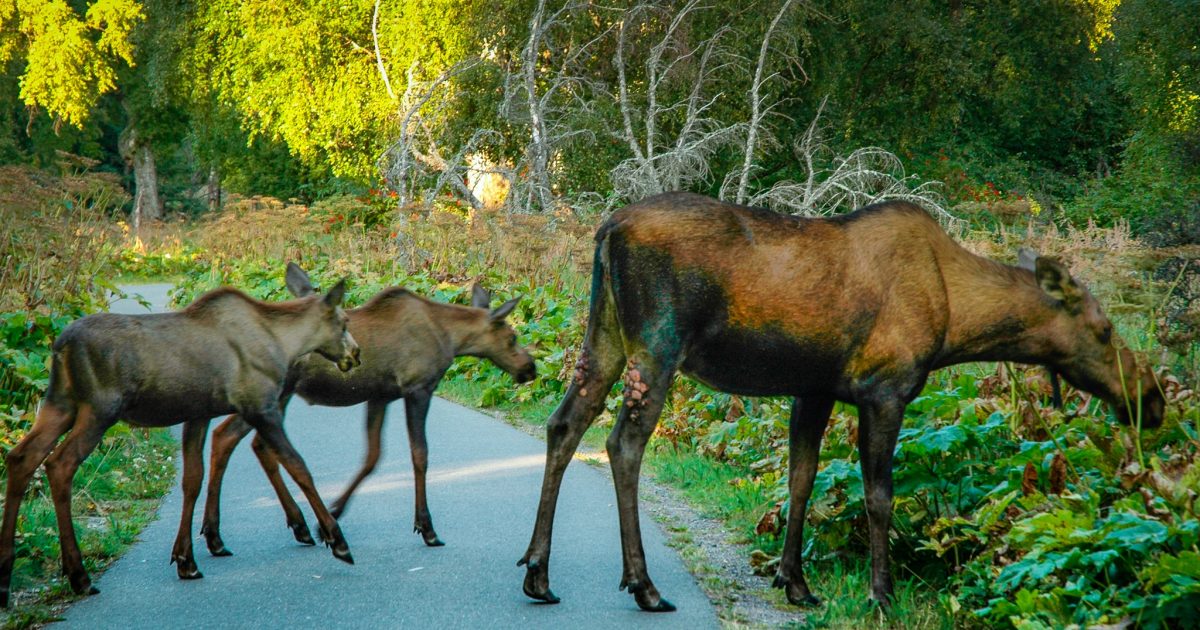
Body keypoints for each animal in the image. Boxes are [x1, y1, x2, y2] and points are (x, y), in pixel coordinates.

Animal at [0, 263, 361, 608]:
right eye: (343, 321)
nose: (356, 354)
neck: (284, 341)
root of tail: (60, 346)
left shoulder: (198, 414)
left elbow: (192, 480)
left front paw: (186, 558)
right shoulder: (260, 406)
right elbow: (299, 466)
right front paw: (336, 539)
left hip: (59, 404)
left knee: (21, 457)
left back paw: (7, 577)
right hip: (98, 409)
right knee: (59, 464)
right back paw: (78, 575)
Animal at [199, 283, 536, 555]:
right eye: (512, 337)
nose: (530, 368)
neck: (451, 338)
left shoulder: (380, 397)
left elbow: (372, 457)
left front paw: (332, 515)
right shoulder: (417, 388)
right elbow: (420, 455)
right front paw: (426, 527)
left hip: (277, 397)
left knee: (256, 444)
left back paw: (298, 526)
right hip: (271, 395)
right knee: (226, 436)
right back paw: (215, 534)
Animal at [518, 192, 1165, 613]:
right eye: (1104, 330)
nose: (1153, 400)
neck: (956, 323)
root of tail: (607, 230)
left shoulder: (814, 390)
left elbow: (801, 478)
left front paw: (795, 583)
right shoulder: (885, 389)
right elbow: (878, 497)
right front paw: (883, 594)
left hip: (603, 337)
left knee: (563, 423)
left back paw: (538, 573)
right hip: (658, 343)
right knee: (623, 442)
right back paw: (643, 584)